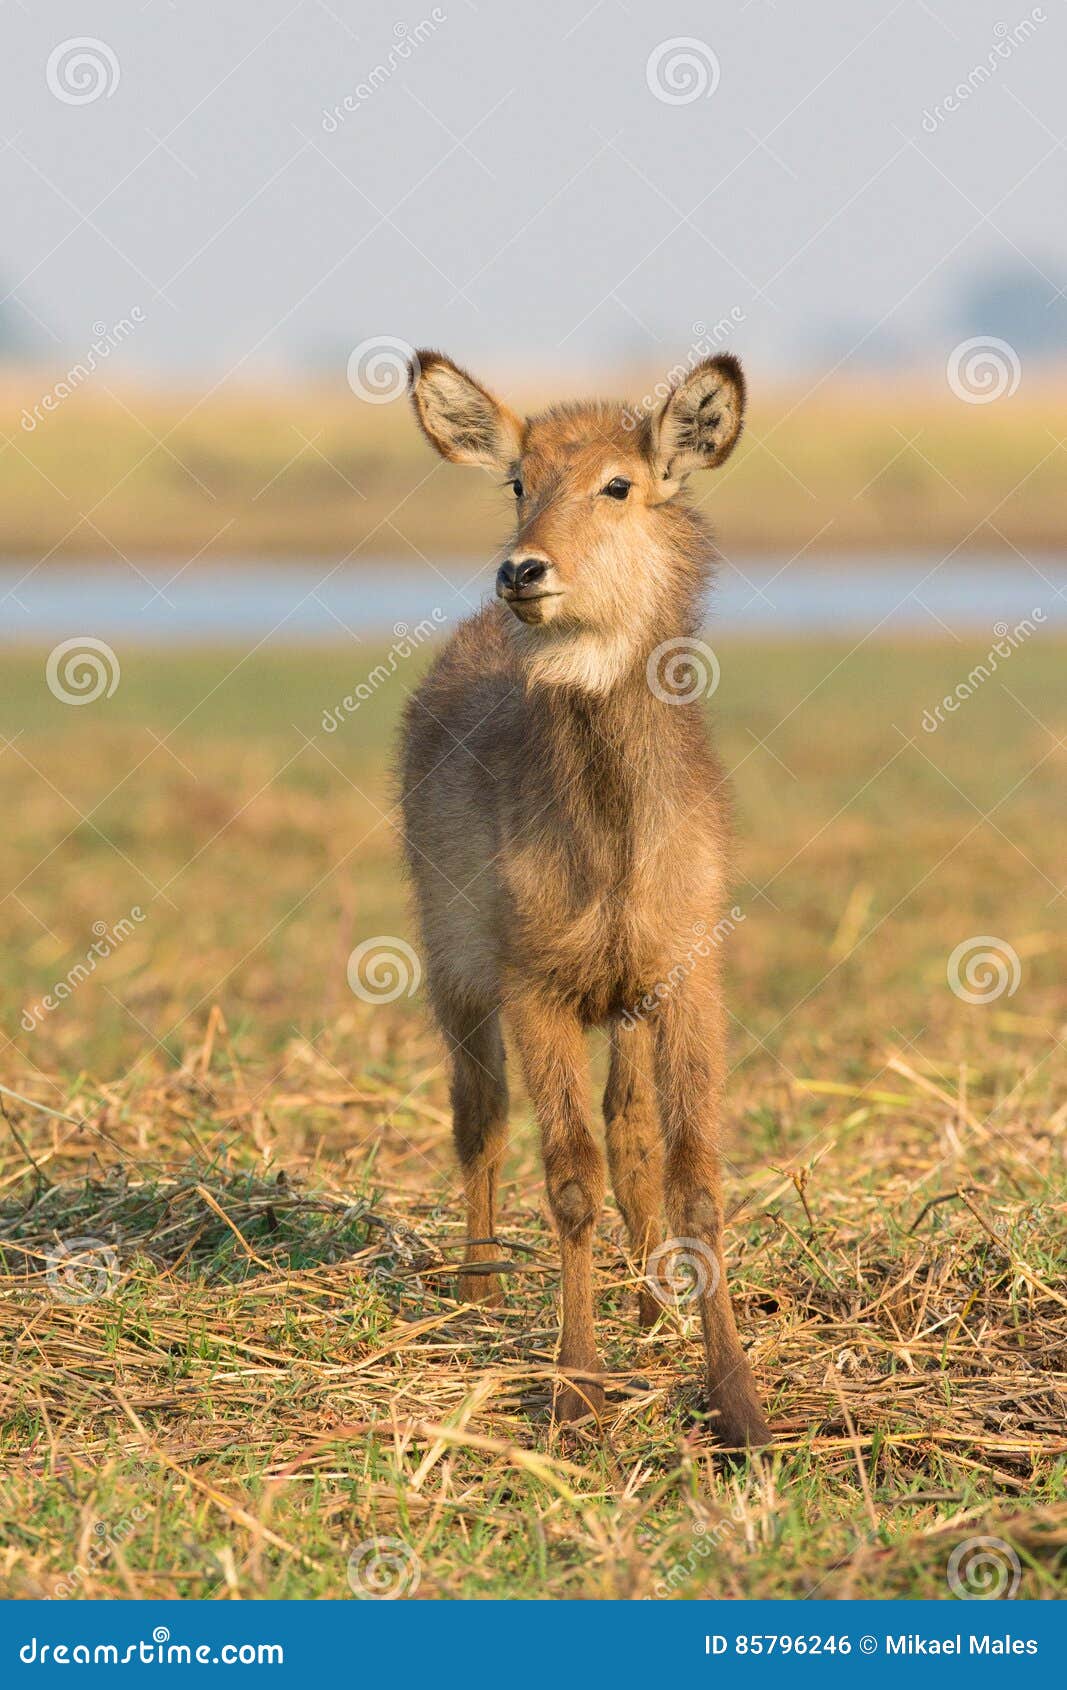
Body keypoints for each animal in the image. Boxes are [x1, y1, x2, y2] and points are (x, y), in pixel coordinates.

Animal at [398, 348, 770, 1448]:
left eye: (619, 484)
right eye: (516, 481)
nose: (521, 572)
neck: (613, 846)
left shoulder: (684, 976)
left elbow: (689, 1173)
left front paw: (734, 1397)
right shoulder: (535, 986)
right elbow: (567, 1178)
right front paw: (574, 1390)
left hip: (627, 1001)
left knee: (631, 1132)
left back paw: (646, 1301)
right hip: (454, 970)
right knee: (478, 1116)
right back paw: (479, 1290)